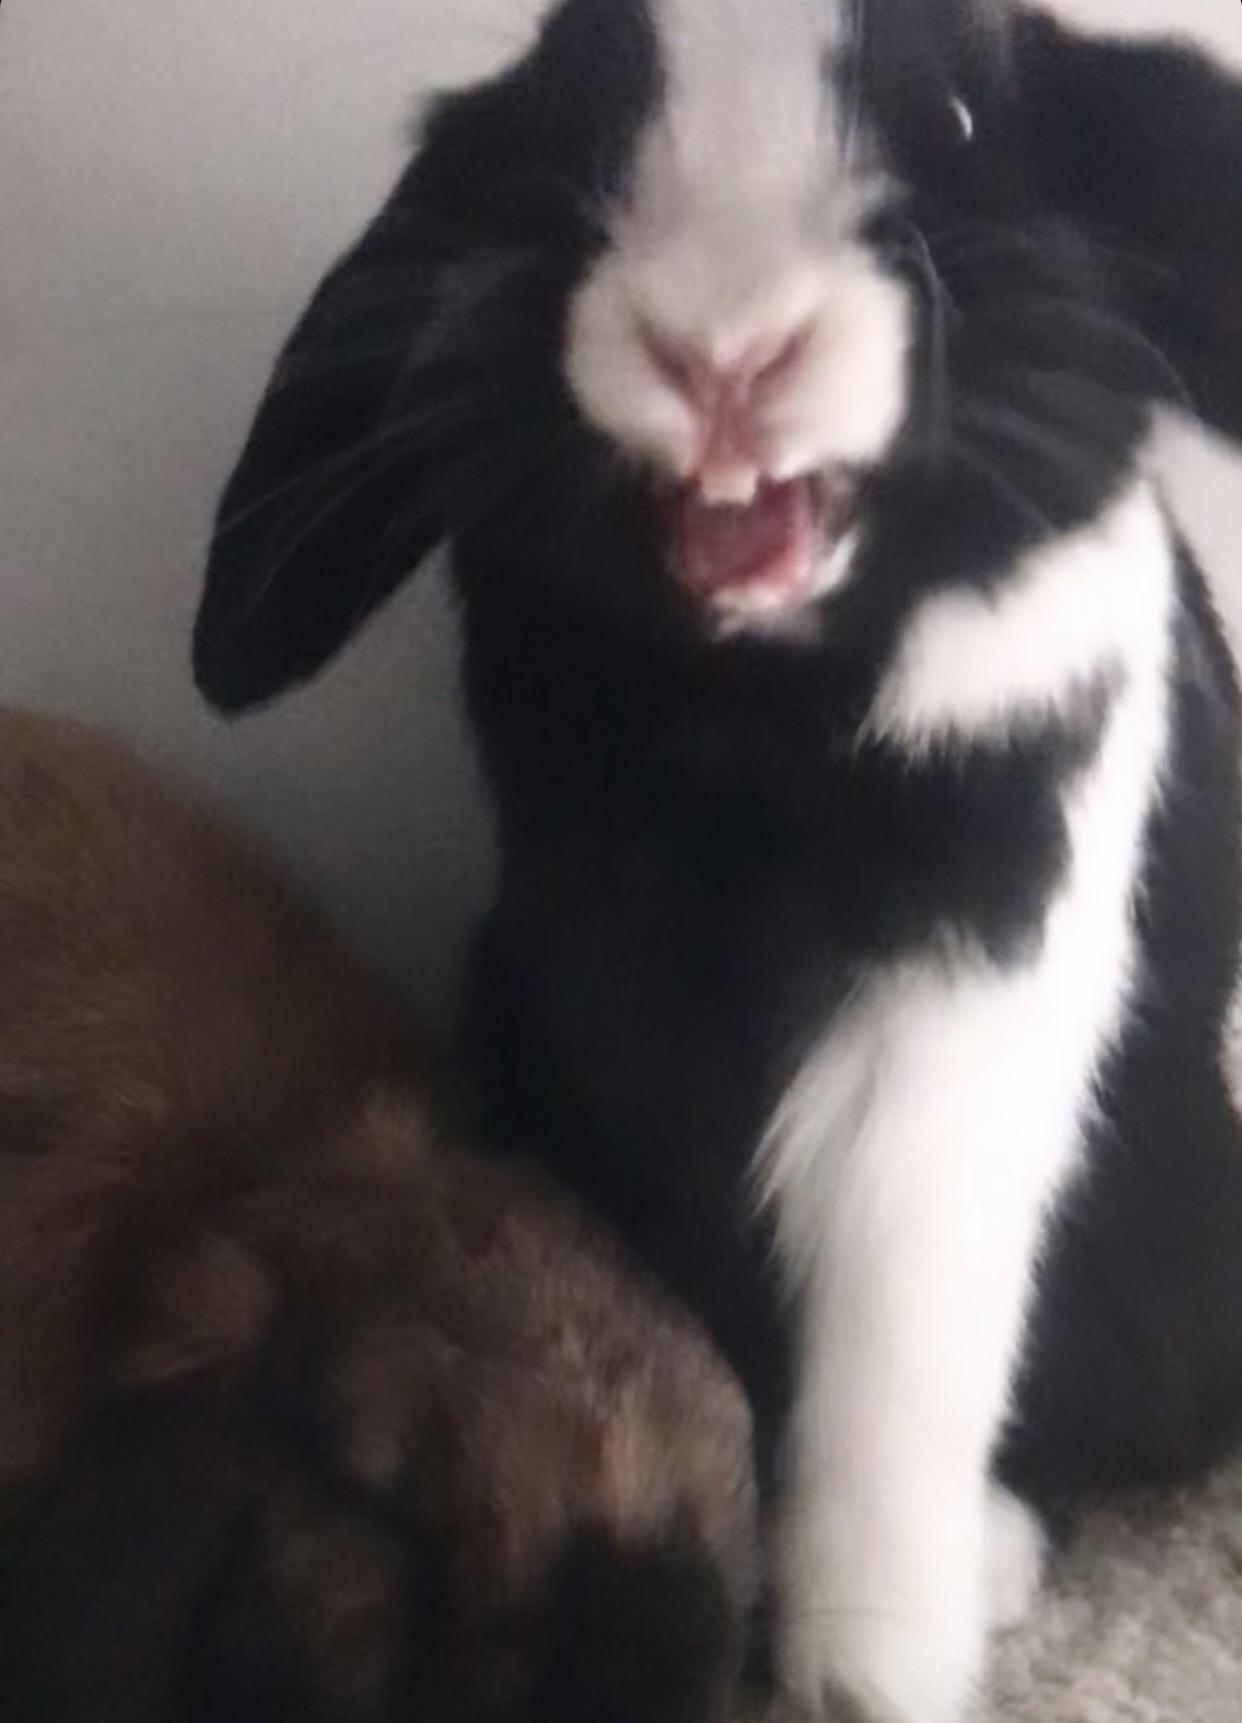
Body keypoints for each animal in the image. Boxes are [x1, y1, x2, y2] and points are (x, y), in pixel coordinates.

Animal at [191, 3, 1242, 1720]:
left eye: (959, 115)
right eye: (582, 130)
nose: (722, 351)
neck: (760, 713)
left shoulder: (946, 1049)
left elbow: (885, 1387)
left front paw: (858, 1677)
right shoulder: (606, 1015)